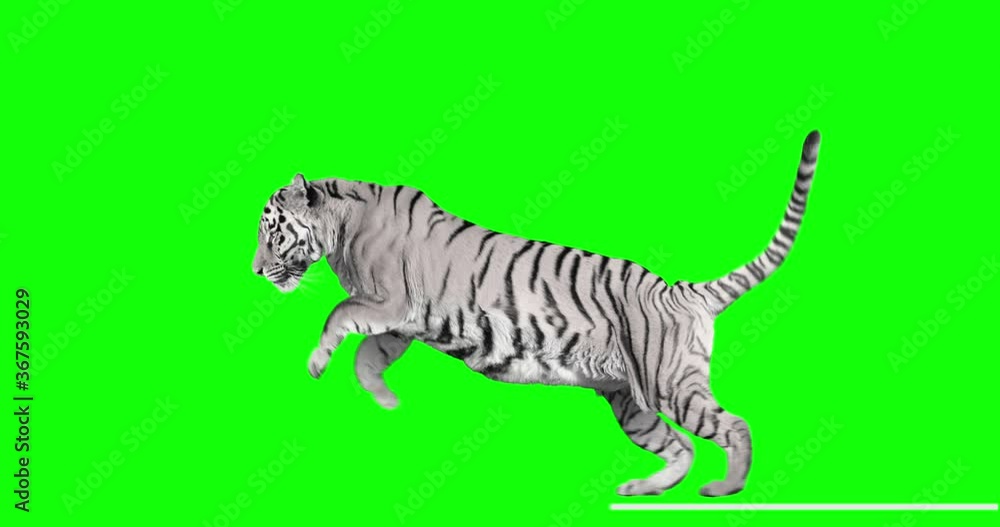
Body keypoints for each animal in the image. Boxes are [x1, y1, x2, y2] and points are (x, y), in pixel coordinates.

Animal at [251, 130, 821, 497]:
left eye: (271, 230)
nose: (255, 270)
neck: (340, 228)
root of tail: (682, 291)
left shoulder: (388, 302)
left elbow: (337, 314)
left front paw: (318, 363)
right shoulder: (400, 322)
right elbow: (368, 354)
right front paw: (386, 400)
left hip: (668, 383)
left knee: (735, 425)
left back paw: (728, 488)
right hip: (630, 402)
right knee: (679, 447)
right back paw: (643, 488)